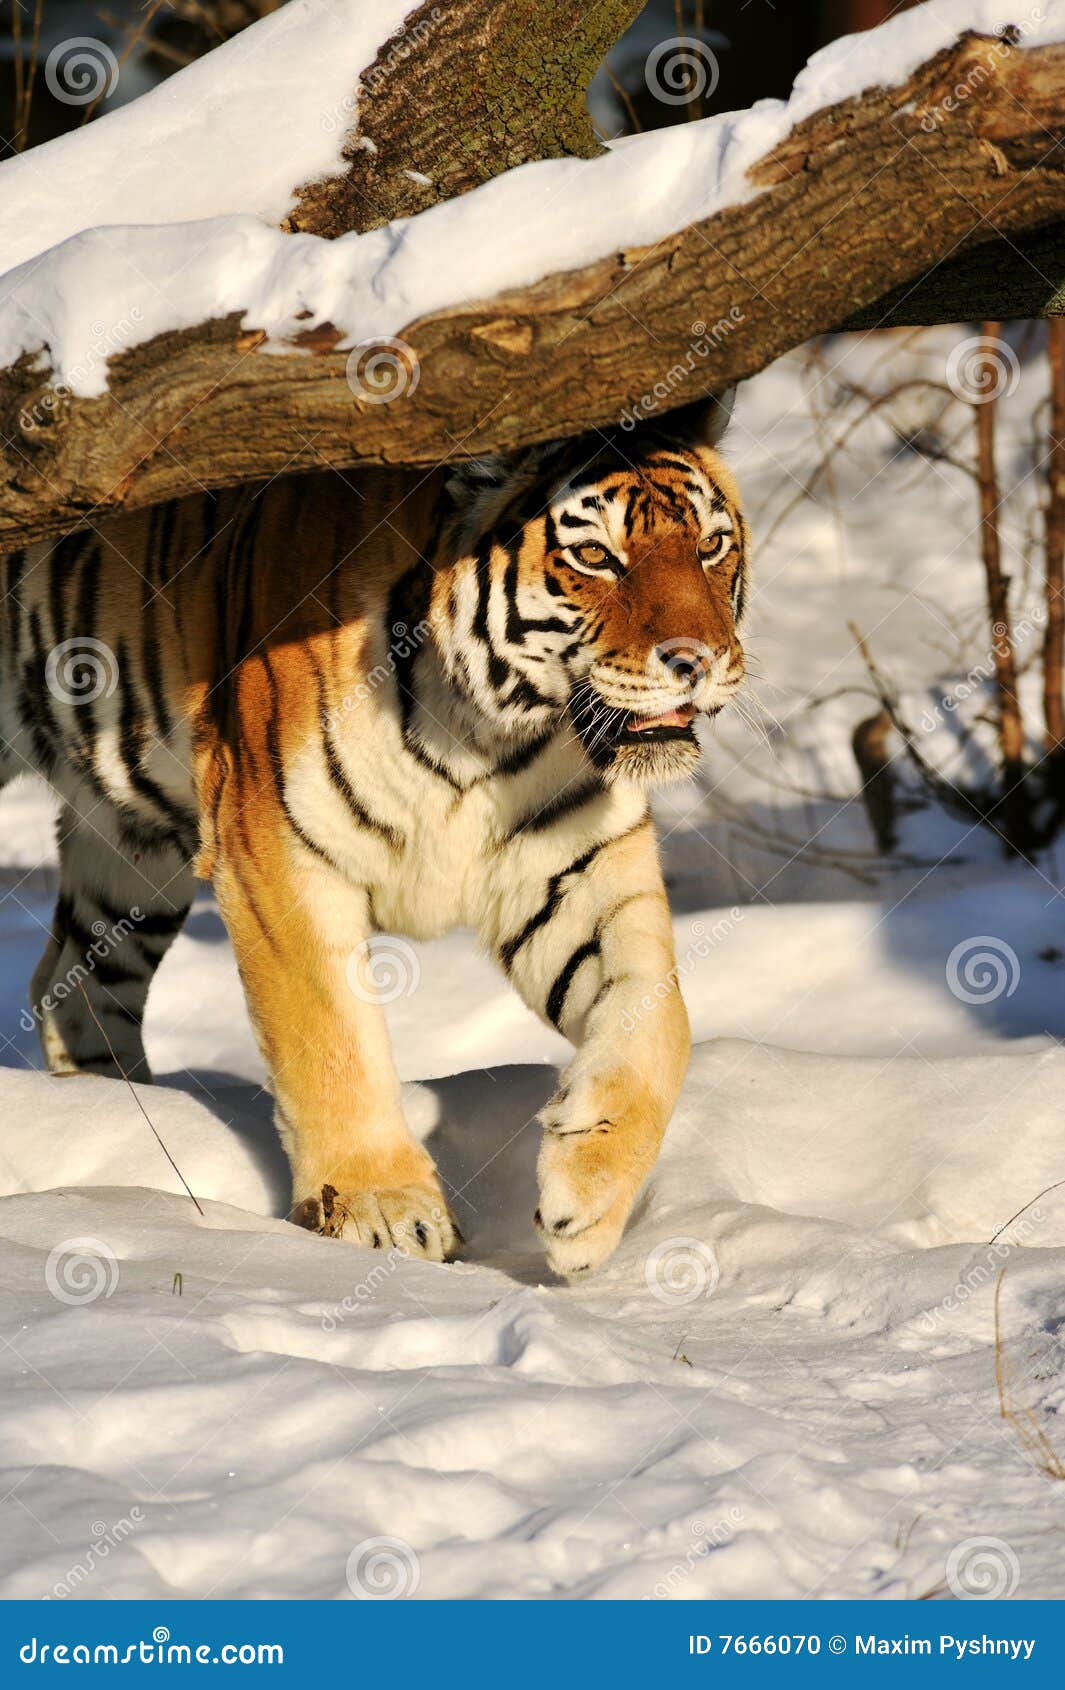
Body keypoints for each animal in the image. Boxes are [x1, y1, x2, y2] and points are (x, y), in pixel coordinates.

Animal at [0, 393, 748, 1277]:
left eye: (710, 546)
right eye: (595, 556)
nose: (698, 661)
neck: (487, 729)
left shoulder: (573, 867)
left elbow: (658, 1016)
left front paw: (585, 1199)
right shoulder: (276, 850)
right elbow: (330, 1042)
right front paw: (382, 1213)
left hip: (132, 852)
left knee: (75, 986)